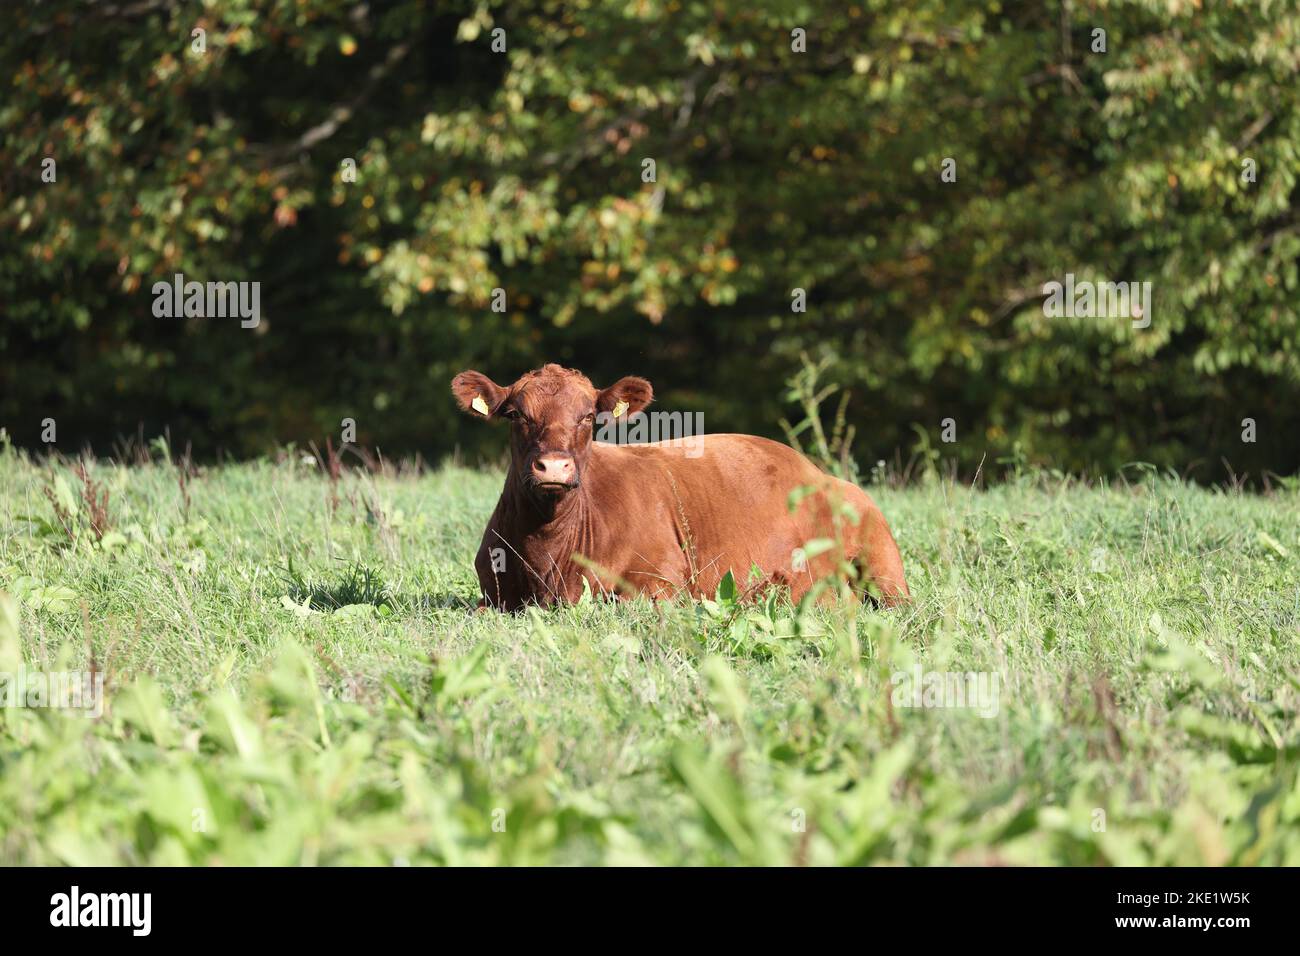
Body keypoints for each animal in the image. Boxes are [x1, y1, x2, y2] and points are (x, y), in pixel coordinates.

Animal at [452, 364, 910, 611]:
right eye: (516, 414)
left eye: (589, 416)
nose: (554, 466)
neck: (545, 552)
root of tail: (815, 471)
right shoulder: (491, 595)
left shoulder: (661, 579)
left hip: (884, 567)